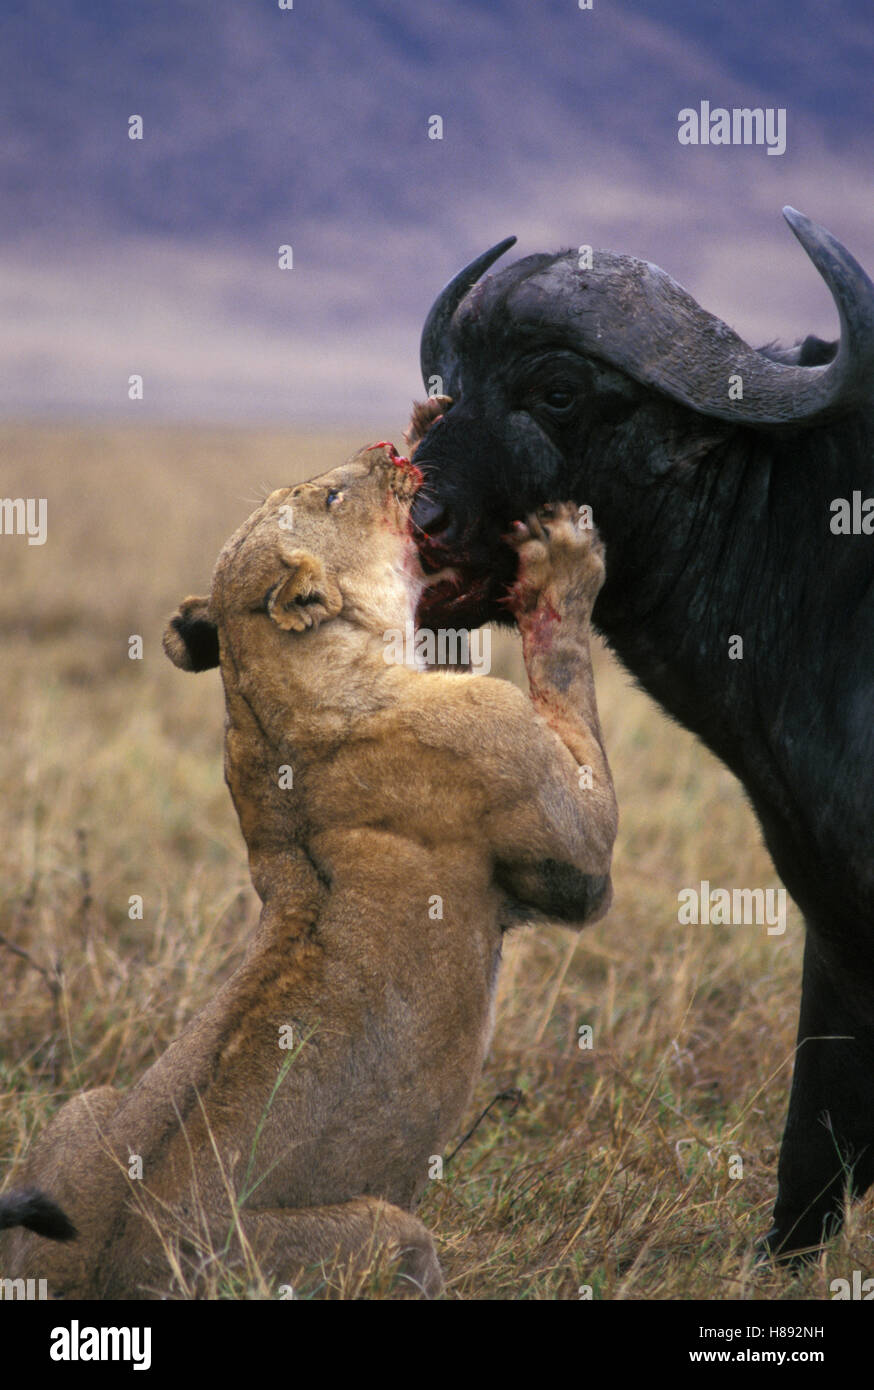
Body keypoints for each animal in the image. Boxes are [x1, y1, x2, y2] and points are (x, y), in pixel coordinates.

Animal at [0, 439, 616, 1299]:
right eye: (331, 497)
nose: (387, 450)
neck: (273, 704)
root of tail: (98, 1280)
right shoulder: (564, 839)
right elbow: (563, 675)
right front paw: (562, 559)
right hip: (381, 1236)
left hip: (82, 1110)